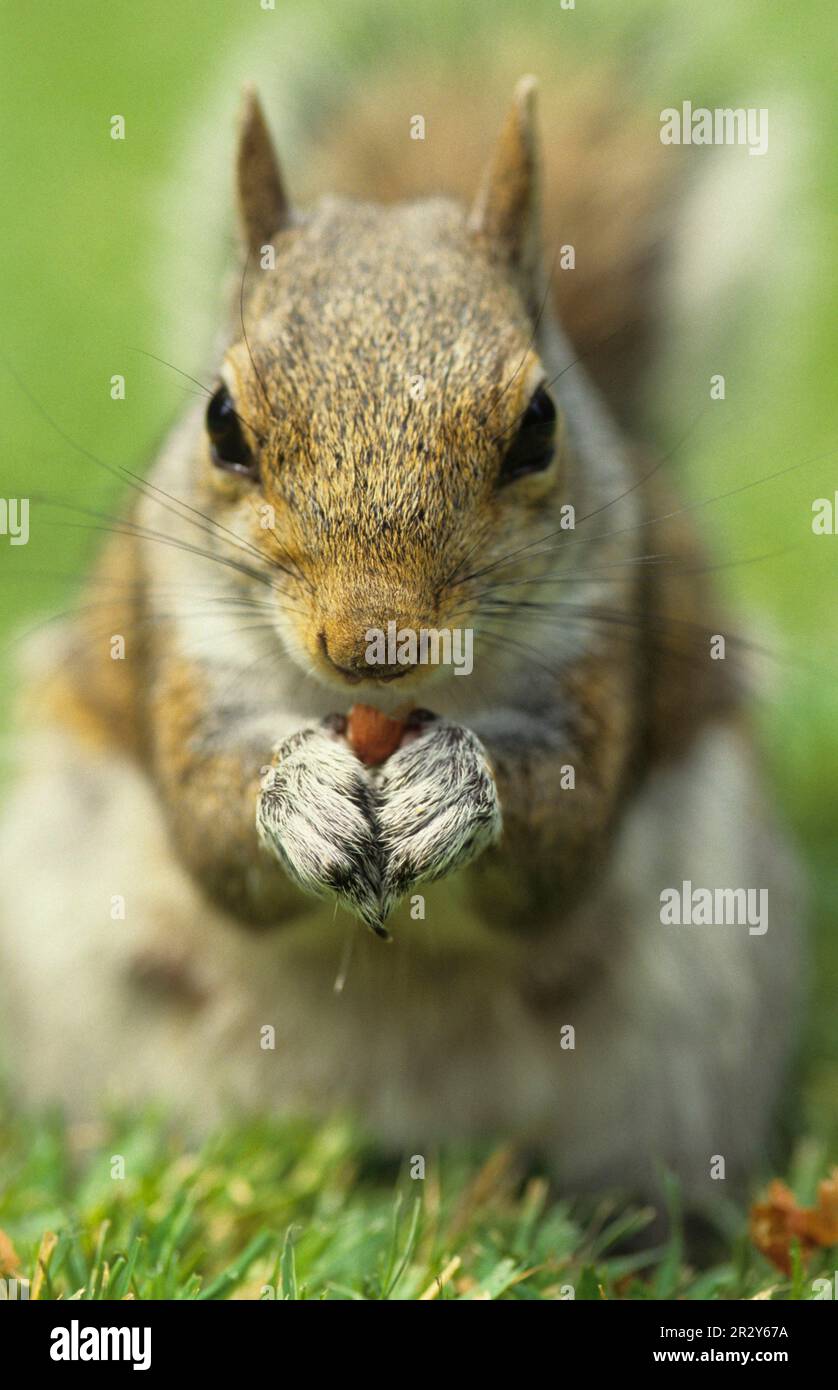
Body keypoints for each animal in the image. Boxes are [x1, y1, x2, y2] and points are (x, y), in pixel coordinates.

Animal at [0, 76, 801, 1200]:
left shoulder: (604, 641)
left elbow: (566, 830)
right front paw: (300, 797)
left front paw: (452, 788)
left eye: (541, 423)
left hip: (703, 1005)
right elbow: (209, 827)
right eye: (220, 422)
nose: (373, 645)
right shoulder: (177, 643)